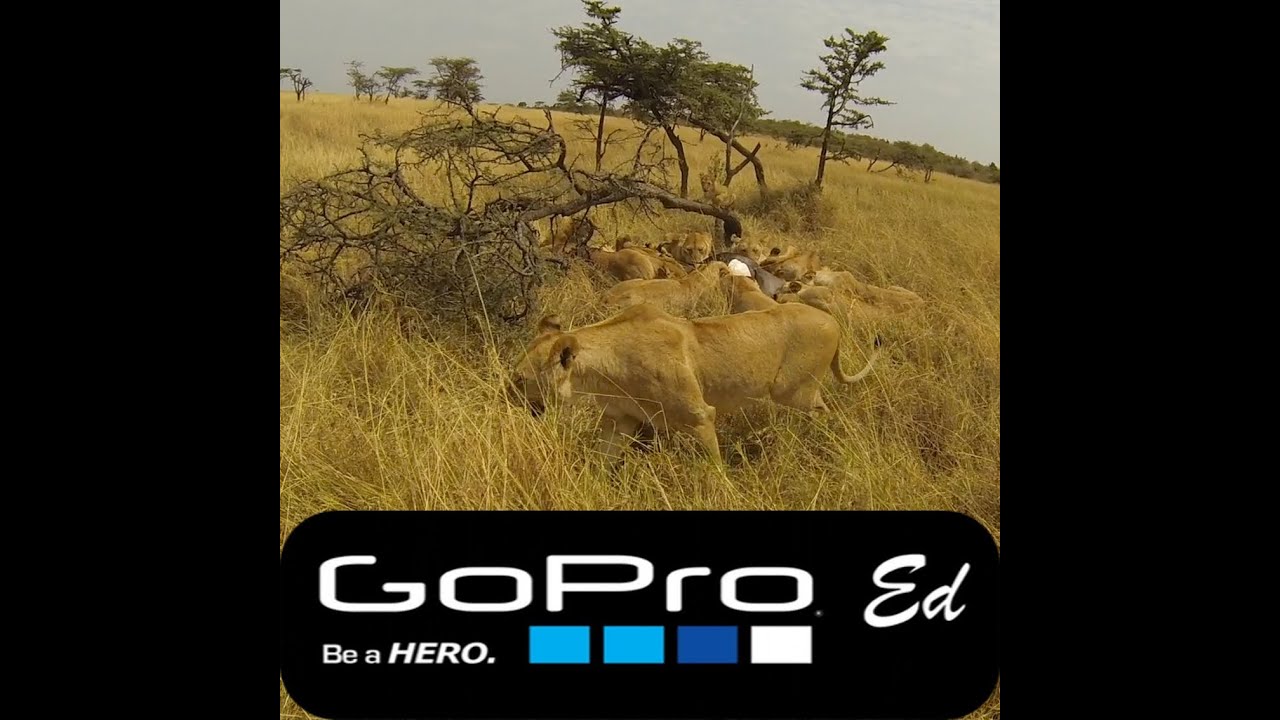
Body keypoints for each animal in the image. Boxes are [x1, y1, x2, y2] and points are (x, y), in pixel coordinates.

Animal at [507, 303, 882, 462]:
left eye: (519, 379)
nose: (505, 398)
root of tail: (834, 321)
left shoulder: (700, 416)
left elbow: (713, 467)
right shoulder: (619, 420)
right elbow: (601, 460)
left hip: (793, 391)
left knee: (821, 411)